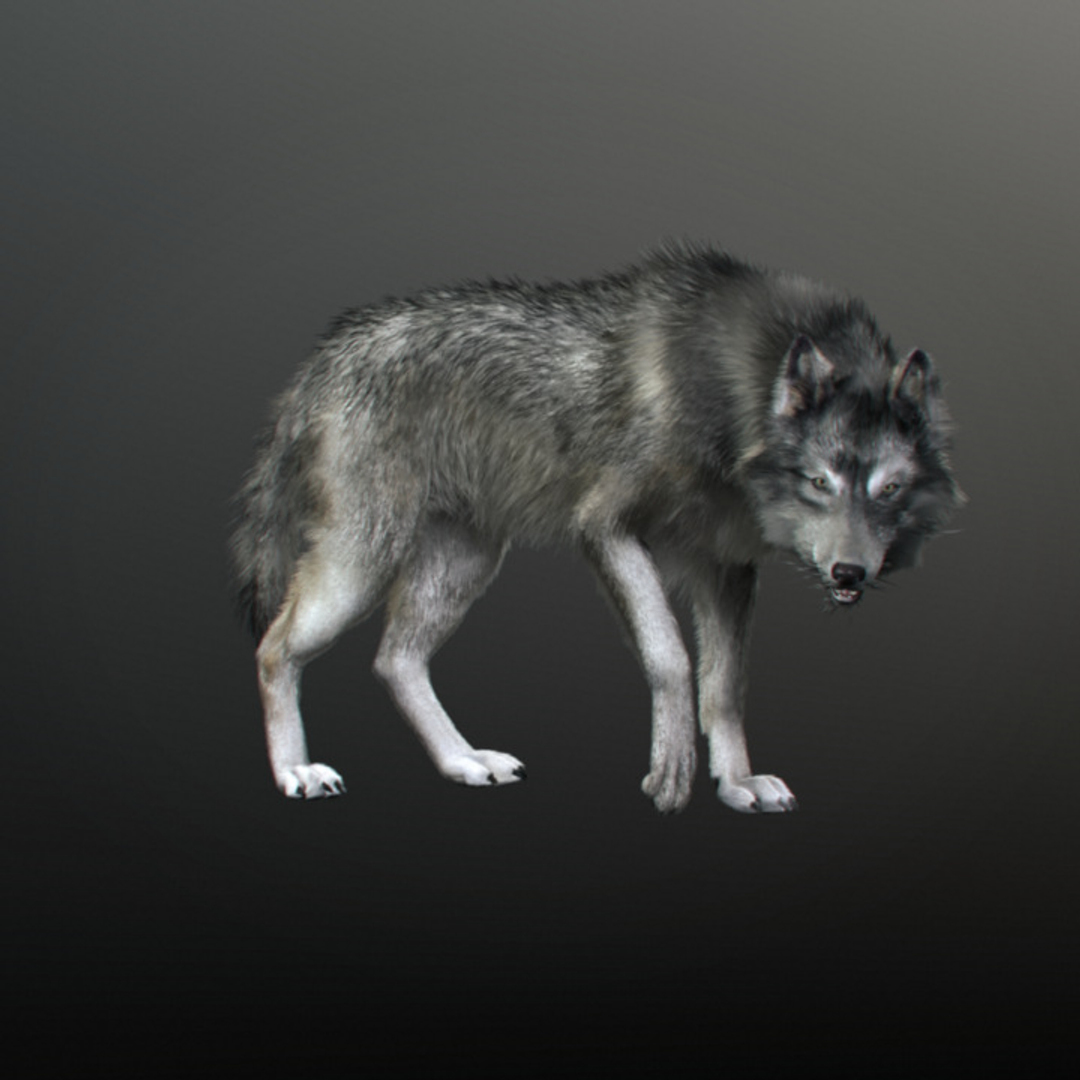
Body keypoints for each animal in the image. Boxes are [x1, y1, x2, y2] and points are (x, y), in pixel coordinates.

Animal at [231, 243, 962, 814]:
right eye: (820, 484)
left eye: (889, 490)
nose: (850, 573)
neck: (735, 399)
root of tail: (326, 354)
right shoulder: (605, 529)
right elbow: (670, 655)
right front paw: (671, 768)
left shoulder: (728, 569)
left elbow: (725, 687)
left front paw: (737, 782)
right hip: (361, 563)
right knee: (274, 649)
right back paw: (295, 771)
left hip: (462, 566)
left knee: (396, 659)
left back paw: (464, 762)